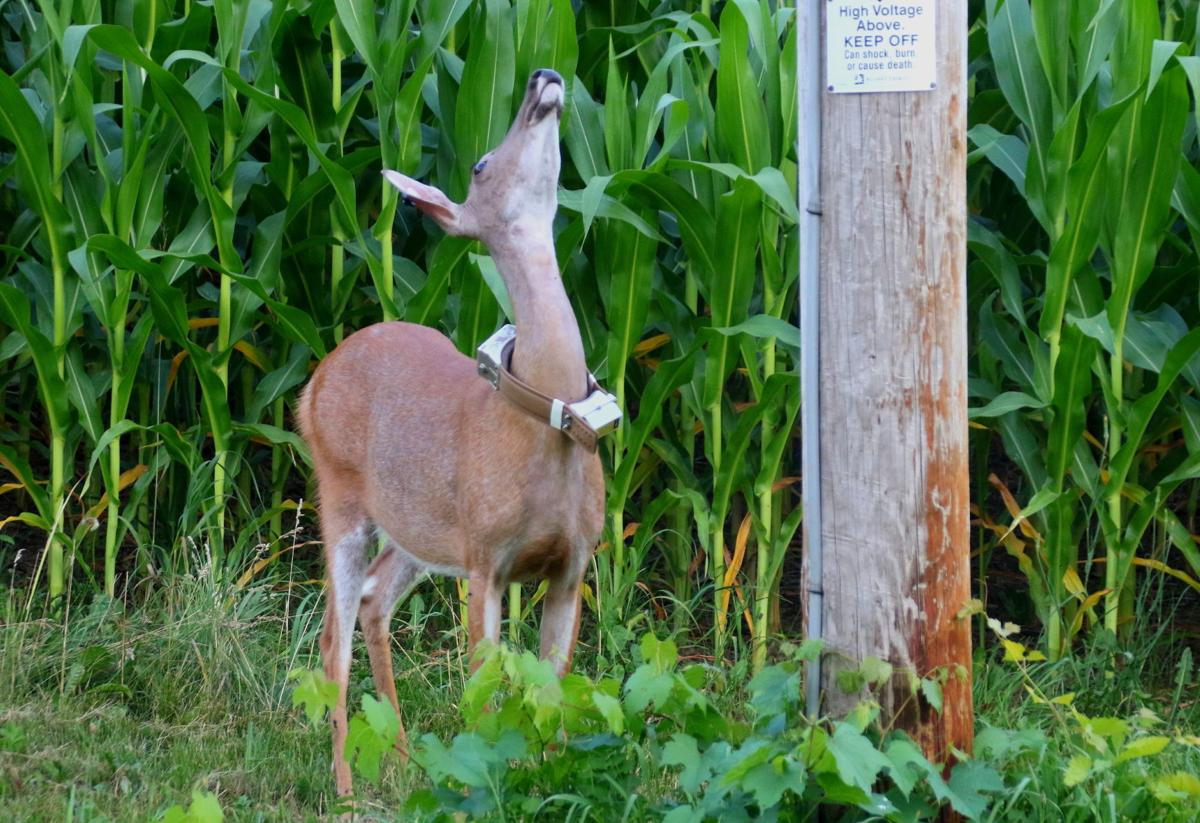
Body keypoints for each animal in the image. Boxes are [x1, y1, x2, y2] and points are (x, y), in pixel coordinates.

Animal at [296, 68, 613, 798]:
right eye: (480, 164)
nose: (542, 77)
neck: (541, 427)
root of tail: (312, 383)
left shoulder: (573, 563)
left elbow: (552, 692)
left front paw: (550, 777)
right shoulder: (486, 557)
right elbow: (485, 690)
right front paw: (487, 779)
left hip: (418, 526)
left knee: (374, 600)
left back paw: (405, 758)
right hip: (341, 495)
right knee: (332, 637)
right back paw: (346, 786)